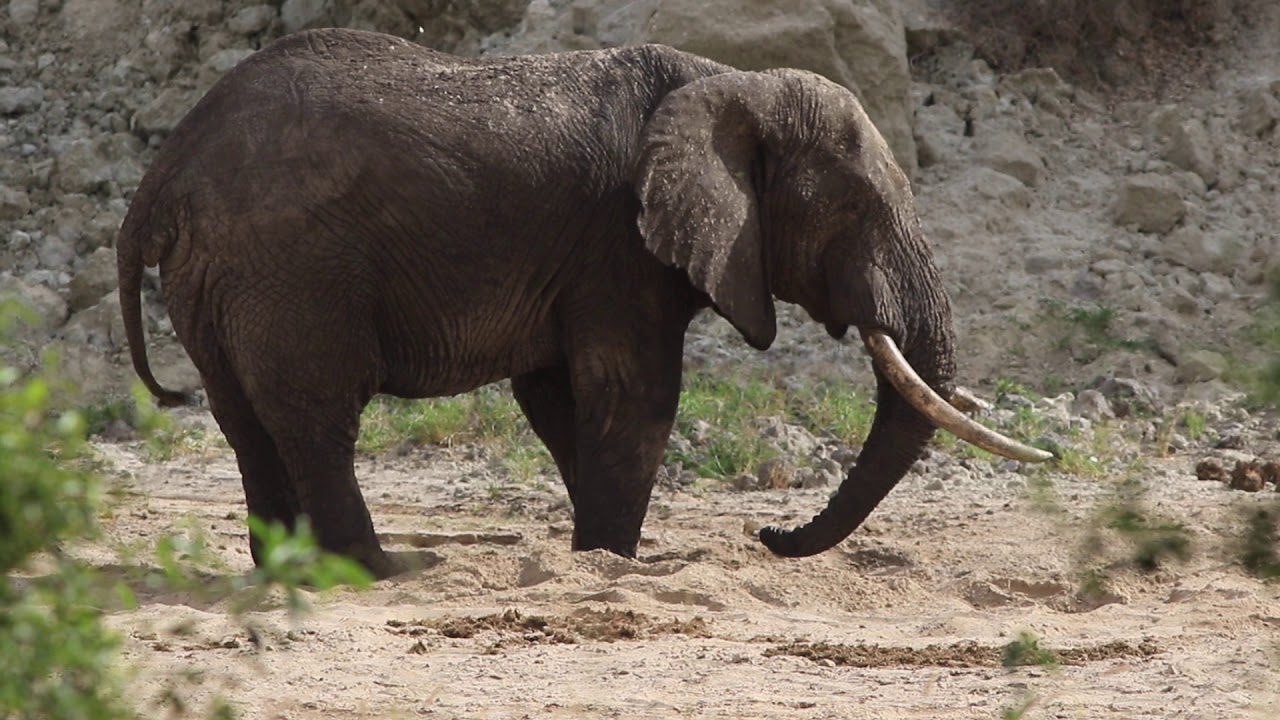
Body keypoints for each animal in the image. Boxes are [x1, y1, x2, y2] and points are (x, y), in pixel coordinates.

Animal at [119, 28, 1049, 579]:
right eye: (856, 210)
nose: (768, 536)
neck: (729, 84)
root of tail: (165, 169)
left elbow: (557, 399)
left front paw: (601, 556)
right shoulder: (618, 245)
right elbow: (634, 397)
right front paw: (620, 560)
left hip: (216, 279)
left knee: (245, 421)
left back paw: (287, 571)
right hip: (290, 271)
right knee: (317, 419)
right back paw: (383, 572)